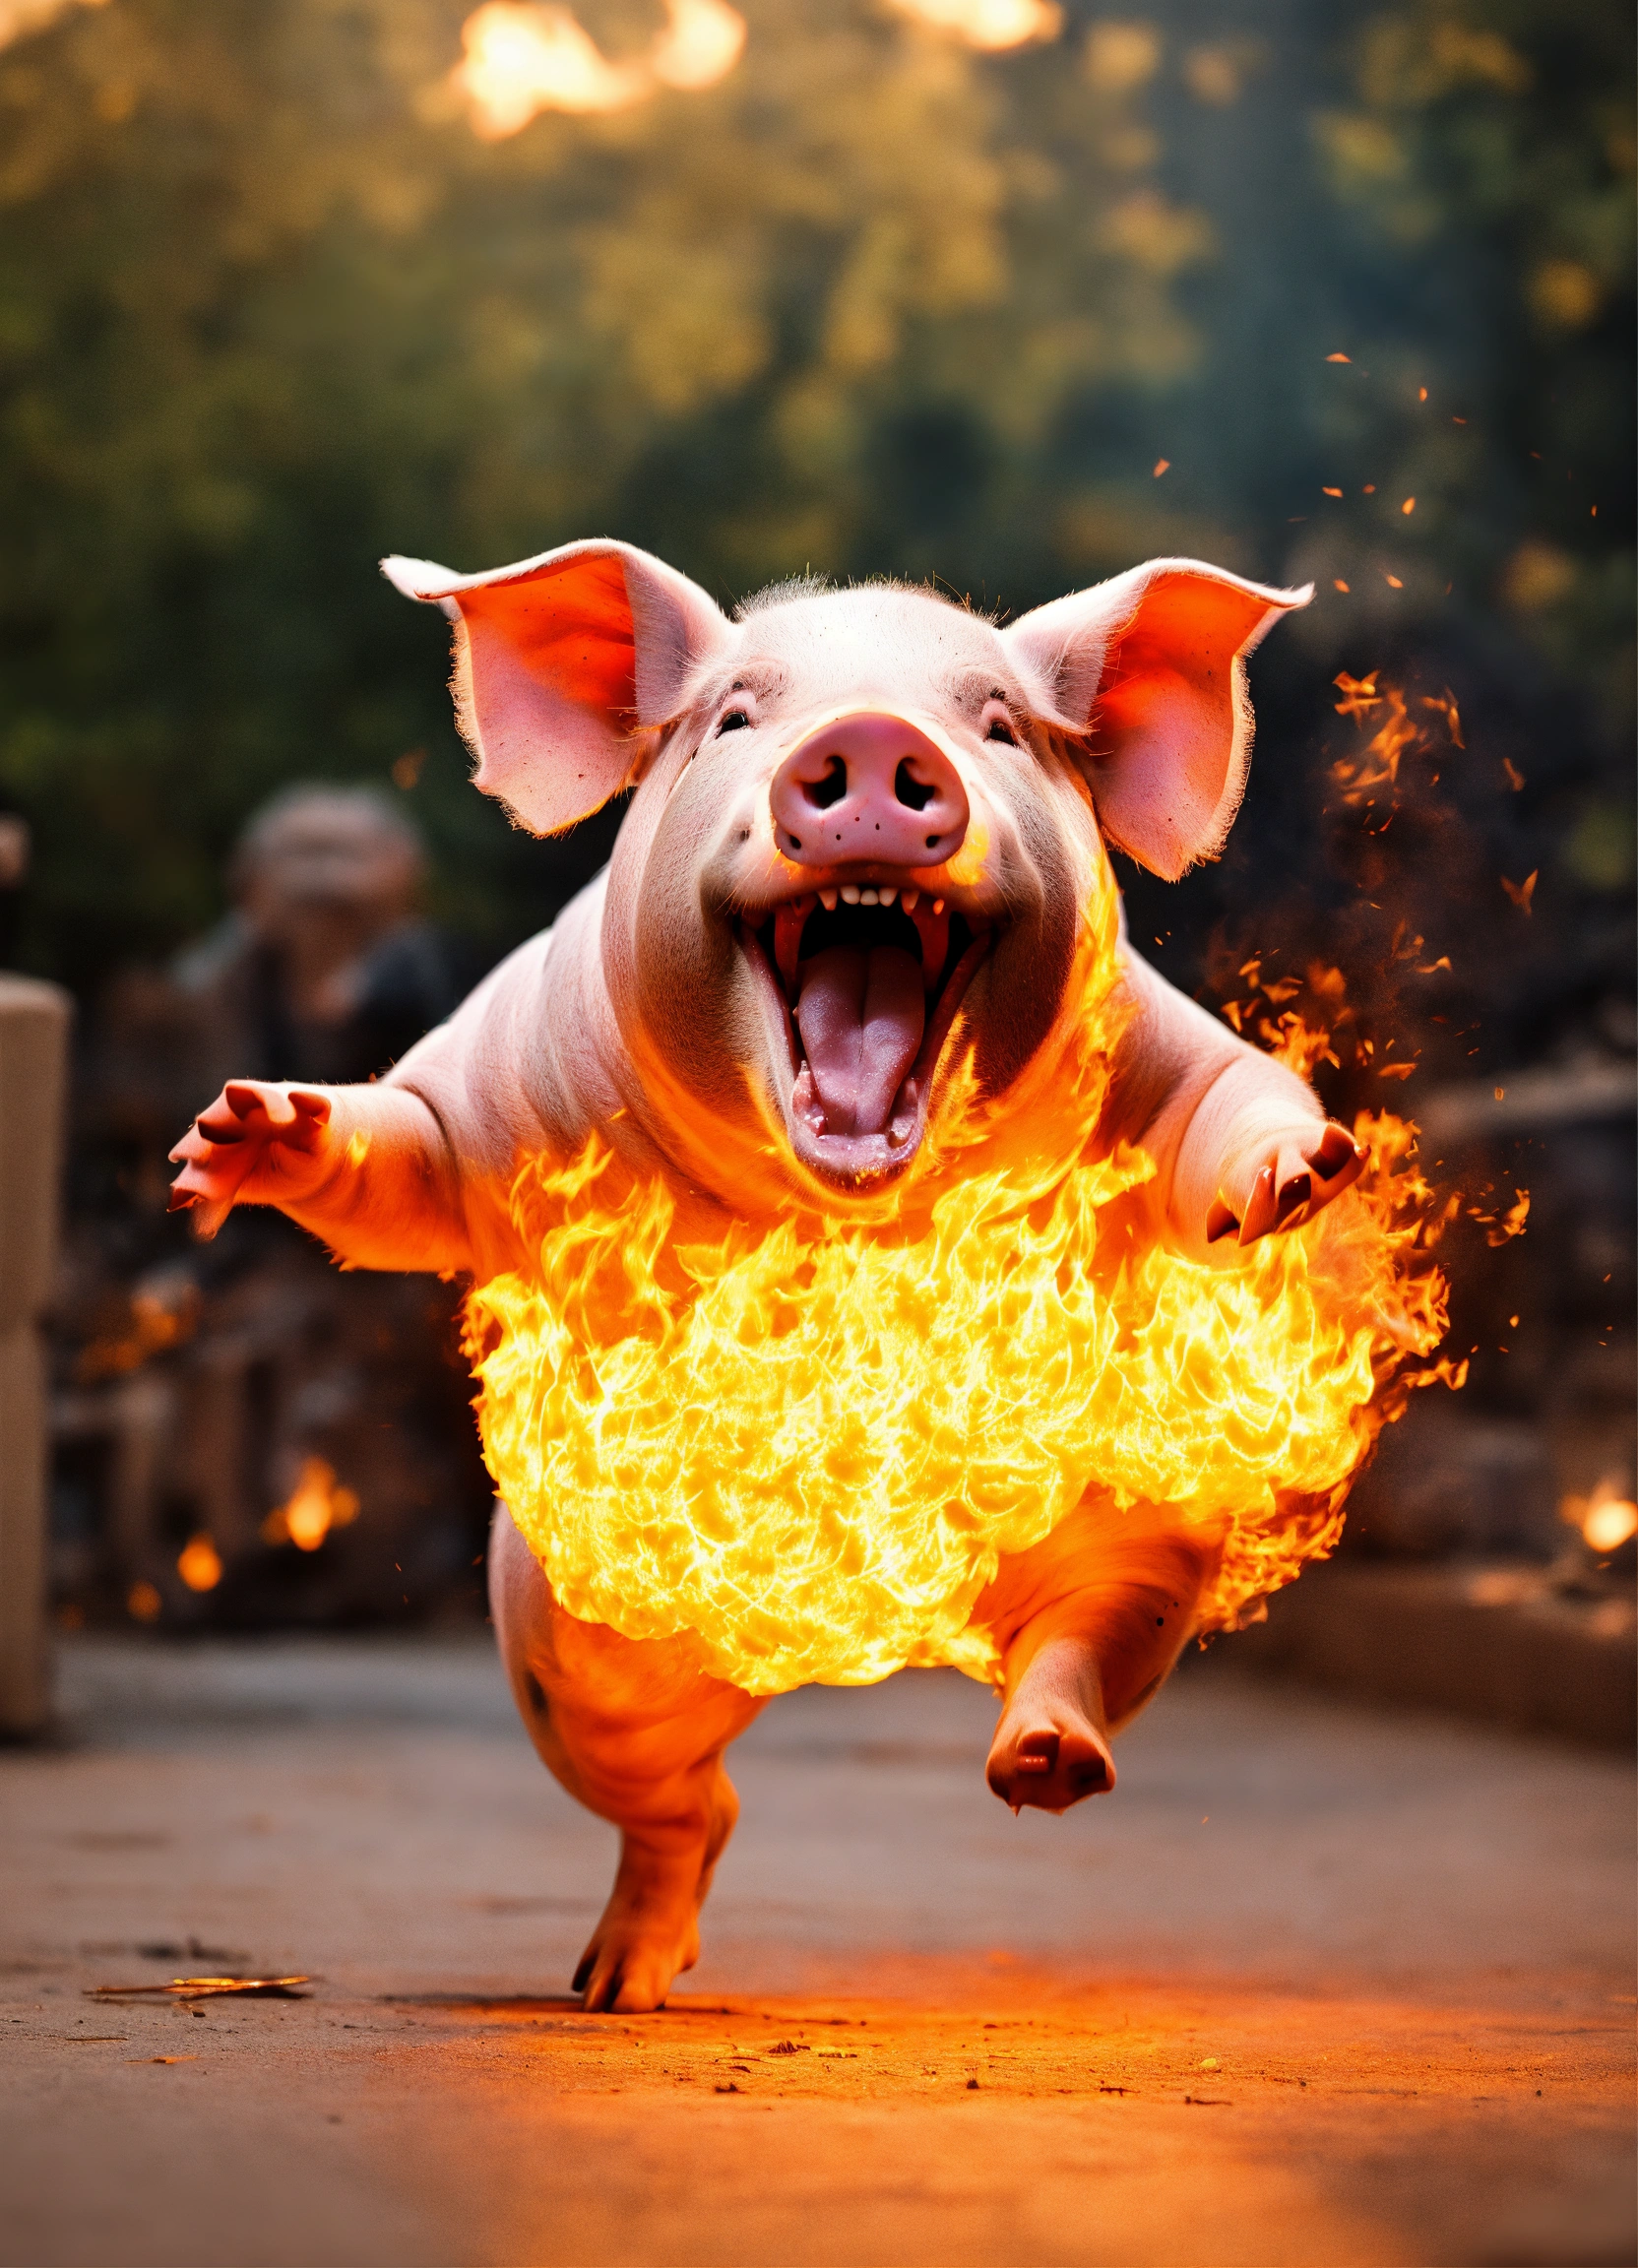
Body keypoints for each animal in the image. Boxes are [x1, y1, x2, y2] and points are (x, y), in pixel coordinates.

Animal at [170, 540, 1364, 2012]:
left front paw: (1305, 1170)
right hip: (571, 1644)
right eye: (737, 717)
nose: (876, 739)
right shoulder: (495, 1085)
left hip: (1130, 1528)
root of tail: (866, 1637)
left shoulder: (1154, 1055)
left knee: (1073, 1648)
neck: (841, 1216)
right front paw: (234, 1139)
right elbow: (409, 1154)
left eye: (997, 725)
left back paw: (1044, 1764)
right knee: (687, 1804)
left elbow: (1232, 1107)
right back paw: (612, 1989)